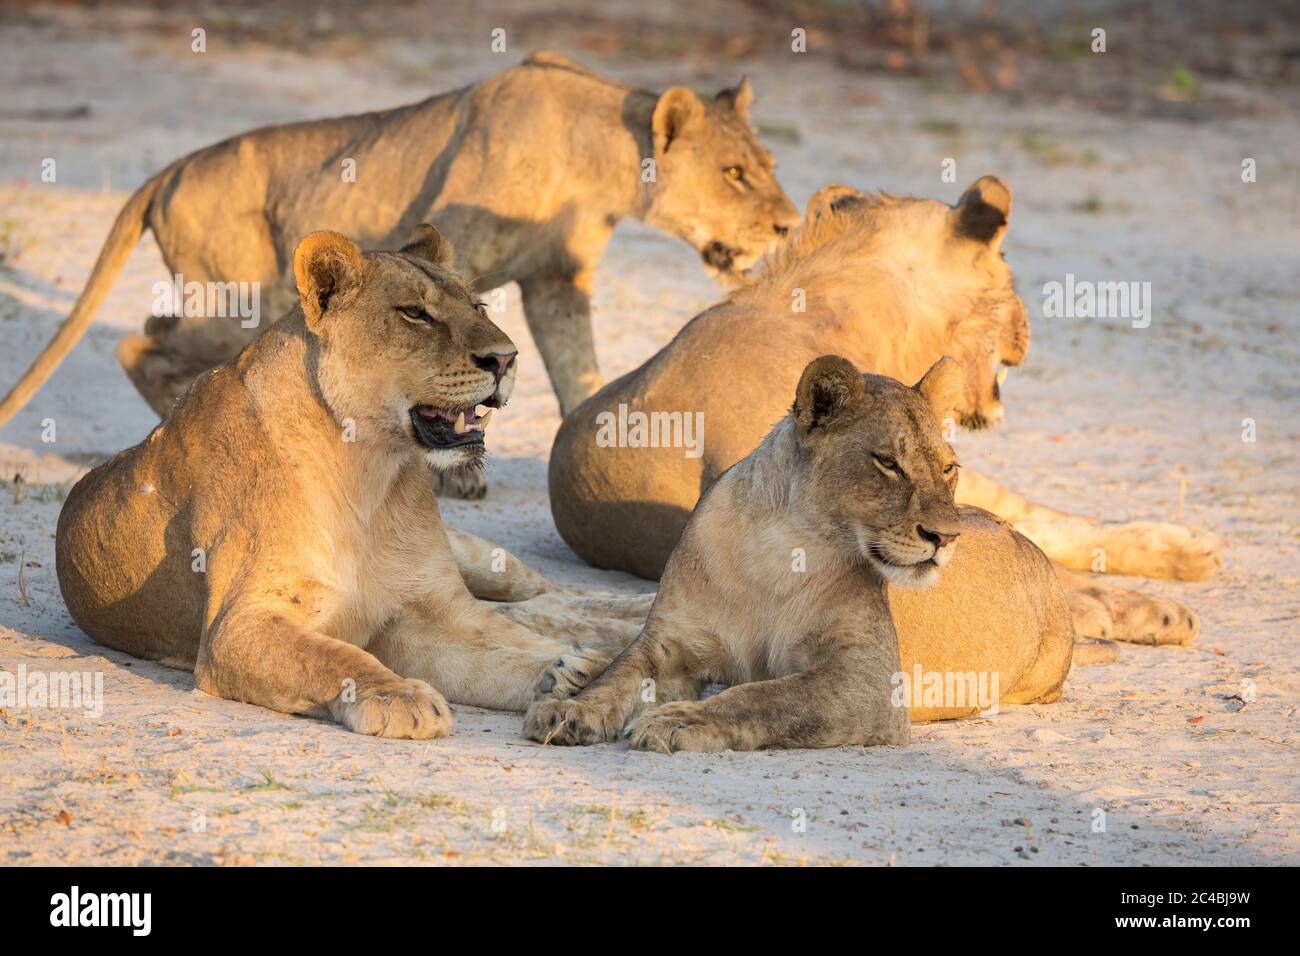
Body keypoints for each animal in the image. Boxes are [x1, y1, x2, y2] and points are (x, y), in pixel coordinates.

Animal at [0, 50, 798, 489]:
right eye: (733, 173)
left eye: (768, 164)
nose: (789, 224)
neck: (599, 162)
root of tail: (171, 167)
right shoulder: (455, 253)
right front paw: (463, 476)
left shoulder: (558, 282)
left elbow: (580, 377)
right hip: (241, 300)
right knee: (140, 341)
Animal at [55, 226, 647, 738]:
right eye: (415, 314)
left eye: (478, 307)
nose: (506, 358)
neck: (366, 467)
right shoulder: (237, 625)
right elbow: (333, 655)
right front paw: (401, 697)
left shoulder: (422, 610)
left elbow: (497, 650)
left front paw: (575, 674)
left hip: (477, 560)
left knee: (552, 596)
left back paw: (626, 621)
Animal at [525, 356, 1078, 752]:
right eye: (888, 463)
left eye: (948, 468)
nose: (946, 538)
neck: (781, 550)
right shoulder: (671, 640)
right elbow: (624, 673)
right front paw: (572, 709)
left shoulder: (871, 680)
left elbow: (767, 696)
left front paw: (681, 720)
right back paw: (571, 671)